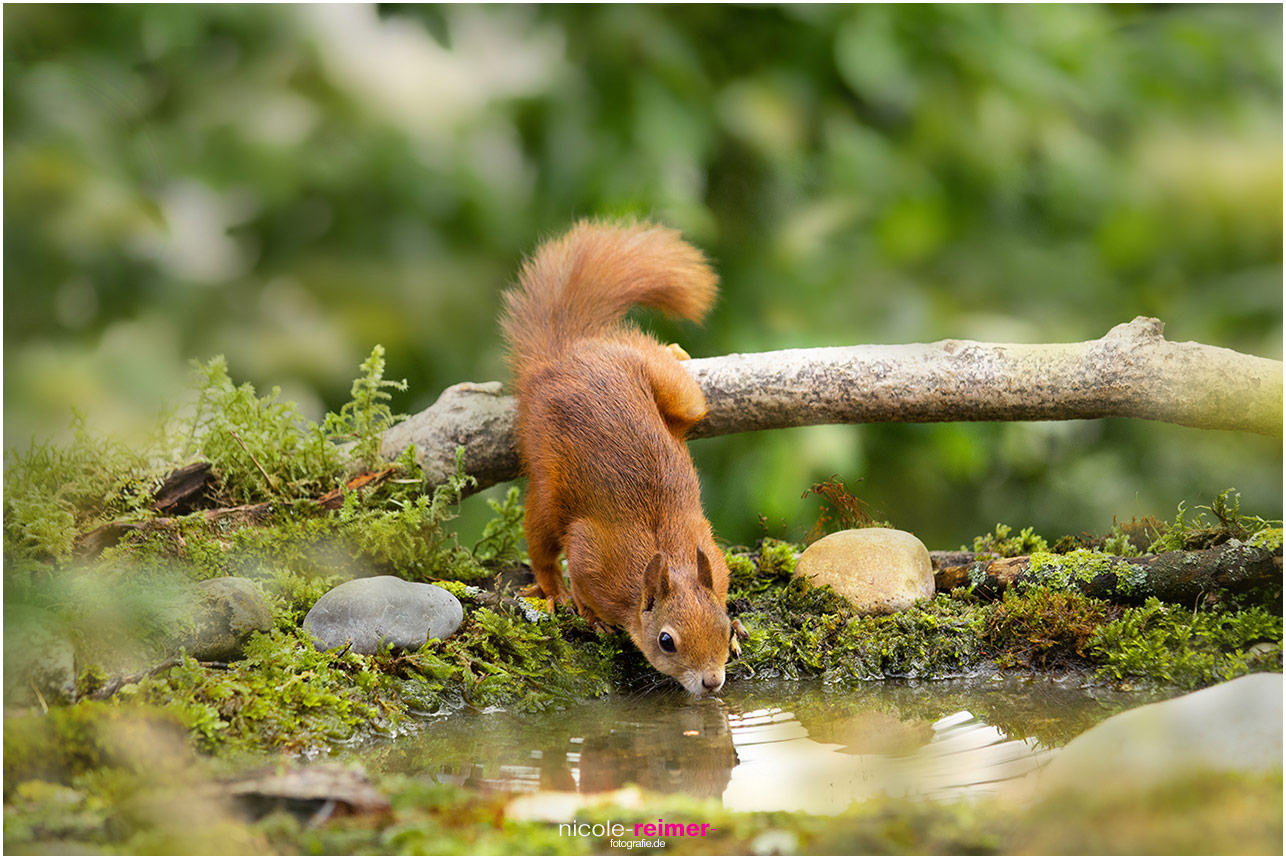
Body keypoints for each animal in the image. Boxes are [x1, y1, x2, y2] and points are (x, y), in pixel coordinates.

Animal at [500, 219, 746, 697]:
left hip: (679, 396)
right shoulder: (592, 553)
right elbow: (580, 569)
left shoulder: (712, 552)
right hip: (545, 472)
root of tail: (565, 356)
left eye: (723, 626)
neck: (669, 559)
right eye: (667, 641)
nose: (712, 682)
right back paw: (553, 590)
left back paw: (671, 352)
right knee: (541, 540)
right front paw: (590, 614)